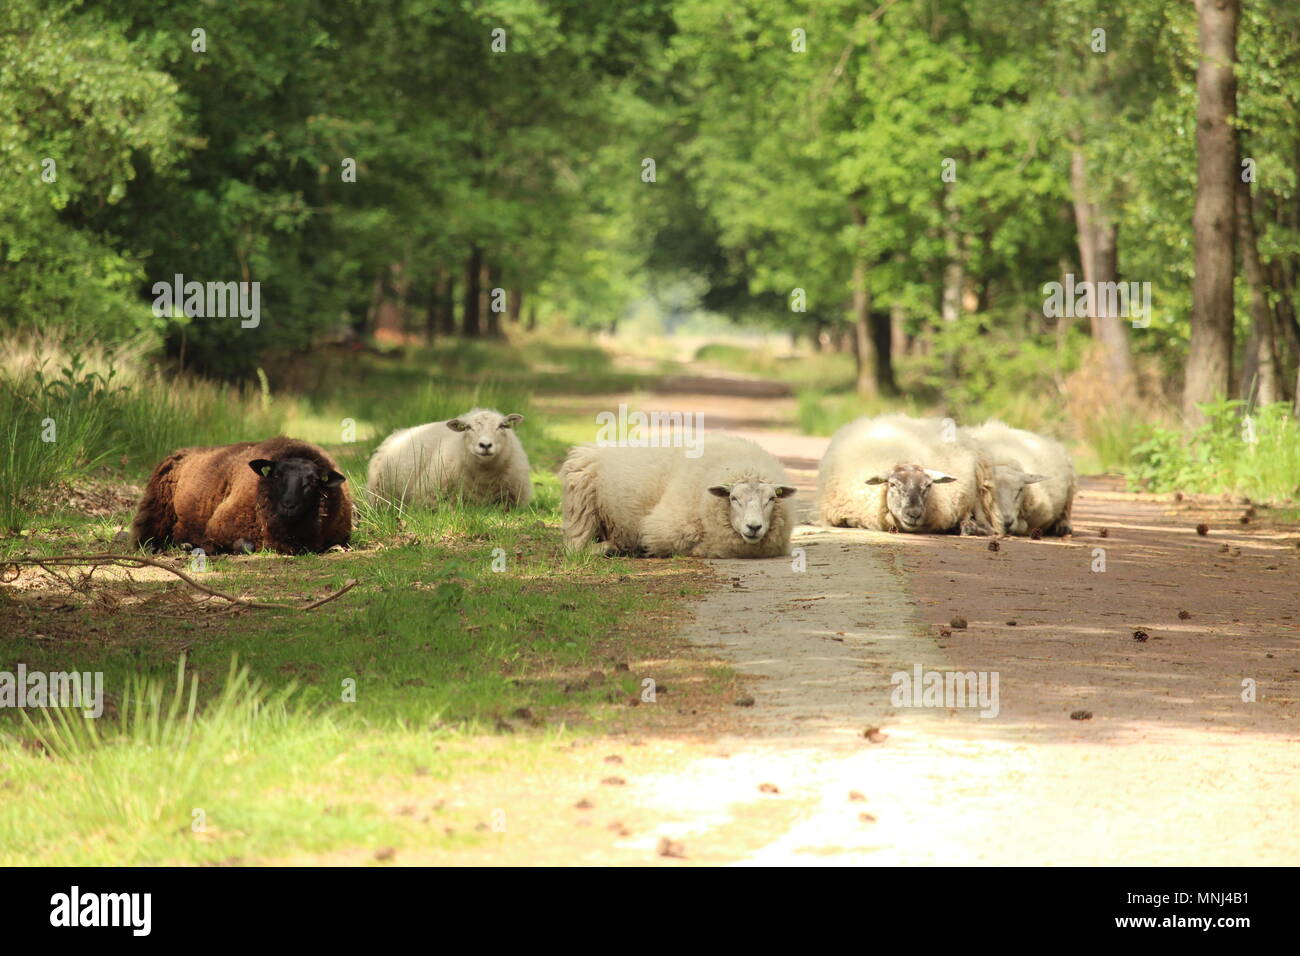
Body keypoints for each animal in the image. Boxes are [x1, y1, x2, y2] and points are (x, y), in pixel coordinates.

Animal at [130, 437, 352, 554]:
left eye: (314, 481)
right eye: (277, 475)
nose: (288, 505)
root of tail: (183, 451)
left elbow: (337, 545)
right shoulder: (219, 527)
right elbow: (245, 546)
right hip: (156, 509)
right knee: (147, 536)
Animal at [366, 408, 531, 509]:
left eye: (502, 426)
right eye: (467, 428)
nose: (485, 445)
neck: (485, 476)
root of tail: (398, 432)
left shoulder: (514, 500)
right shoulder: (427, 498)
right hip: (379, 494)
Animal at [560, 434, 797, 558]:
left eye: (771, 499)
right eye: (733, 498)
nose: (754, 527)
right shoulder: (663, 527)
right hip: (581, 508)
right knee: (575, 547)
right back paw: (605, 549)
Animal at [815, 414, 999, 535]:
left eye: (928, 486)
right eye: (893, 484)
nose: (914, 514)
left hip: (978, 493)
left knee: (989, 526)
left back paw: (970, 527)